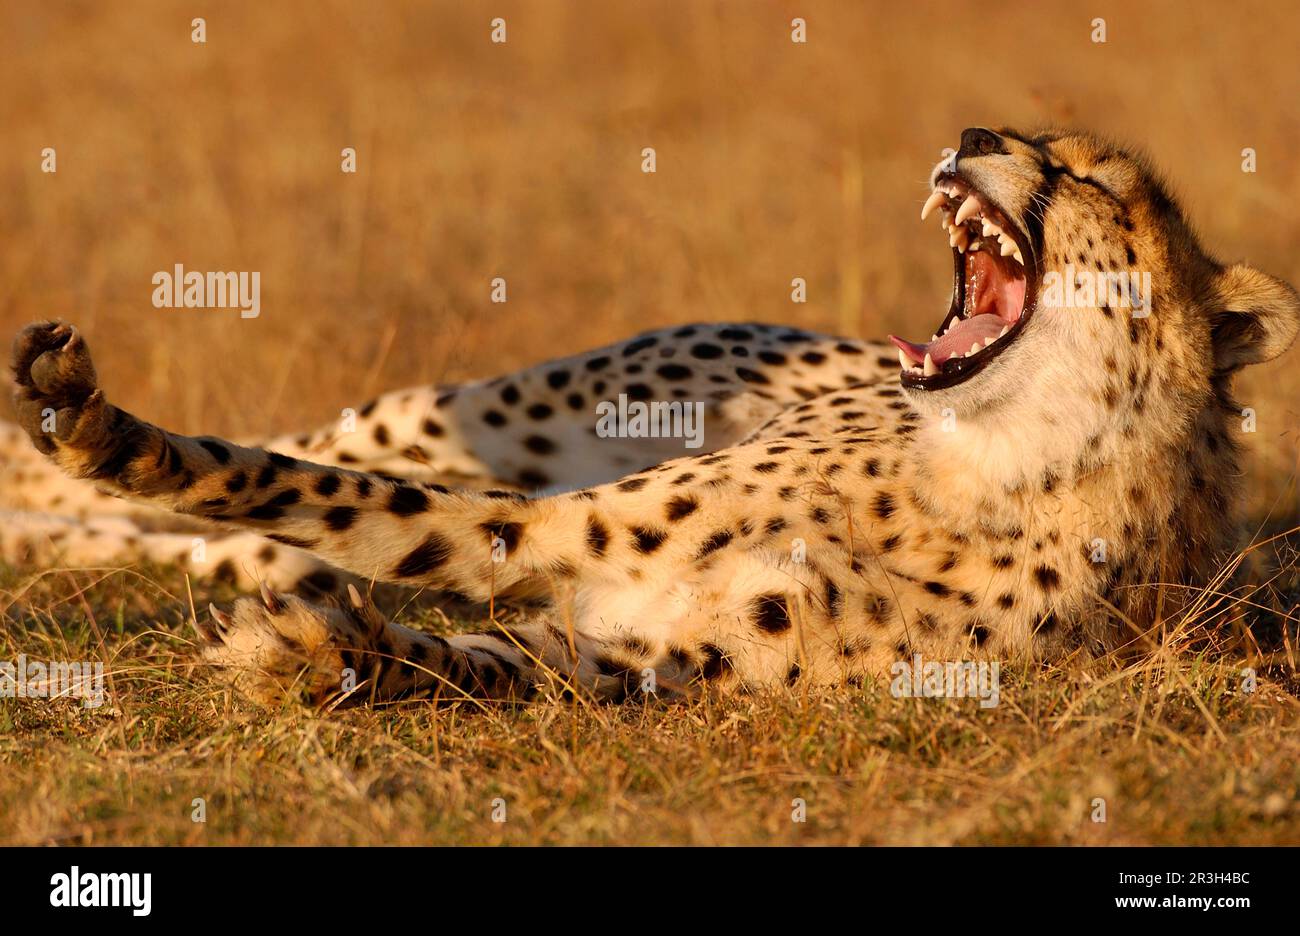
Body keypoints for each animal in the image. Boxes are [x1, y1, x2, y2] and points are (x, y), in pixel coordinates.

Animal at [5, 126, 1298, 708]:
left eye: (1086, 176)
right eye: (1019, 140)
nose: (976, 135)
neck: (993, 470)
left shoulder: (651, 663)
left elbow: (482, 666)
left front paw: (321, 653)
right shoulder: (536, 526)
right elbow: (284, 481)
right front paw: (100, 425)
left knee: (215, 551)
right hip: (500, 407)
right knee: (297, 463)